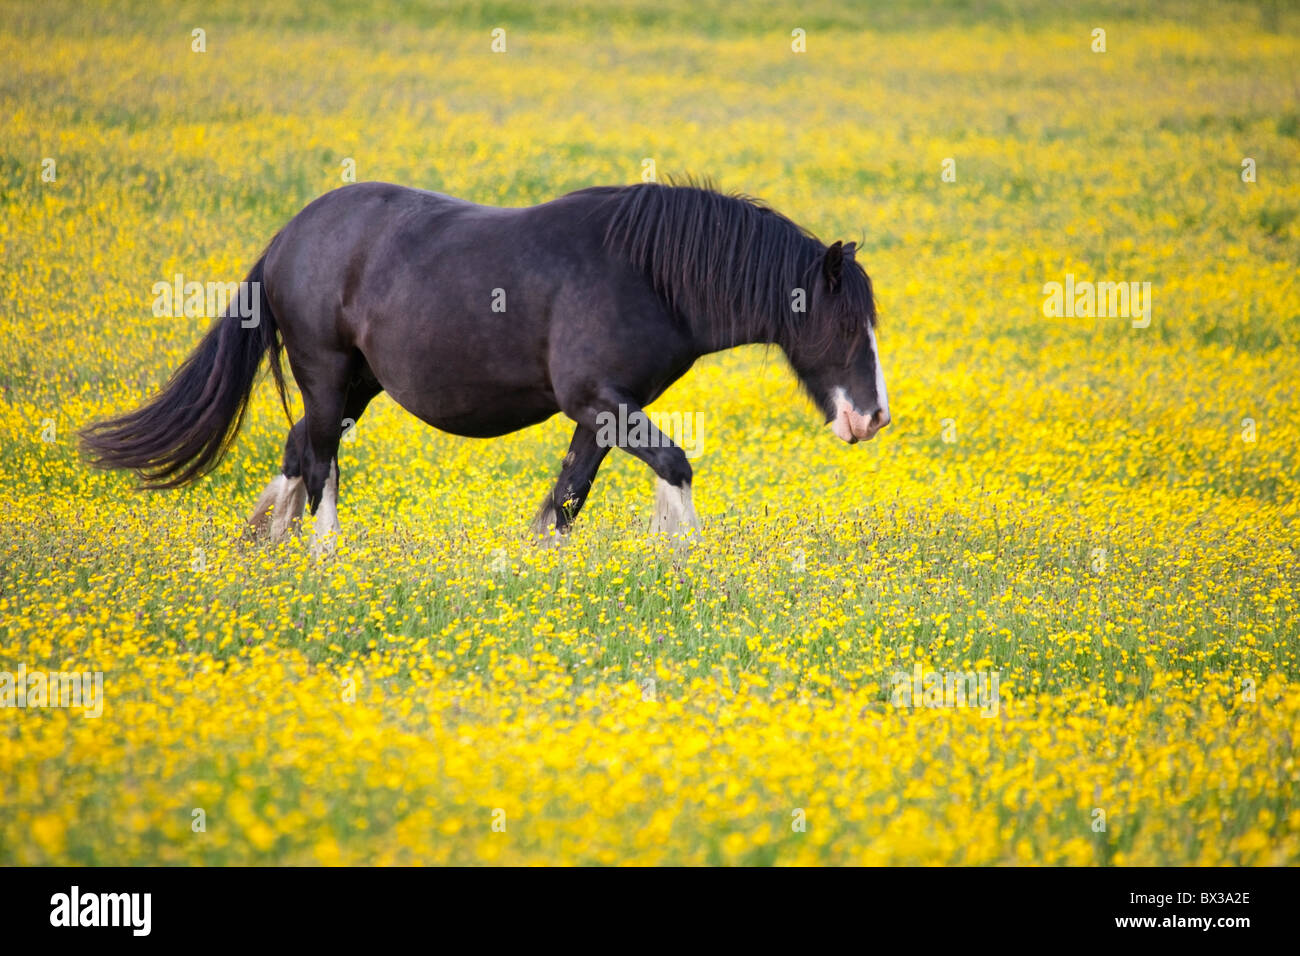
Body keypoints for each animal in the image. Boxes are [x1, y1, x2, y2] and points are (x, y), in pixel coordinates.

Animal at [80, 180, 890, 551]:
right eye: (845, 324)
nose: (873, 418)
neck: (647, 274)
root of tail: (289, 236)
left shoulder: (602, 412)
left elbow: (568, 498)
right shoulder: (598, 401)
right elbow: (674, 466)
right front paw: (685, 556)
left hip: (357, 385)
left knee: (297, 449)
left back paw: (266, 543)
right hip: (325, 373)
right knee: (319, 462)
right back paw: (324, 554)